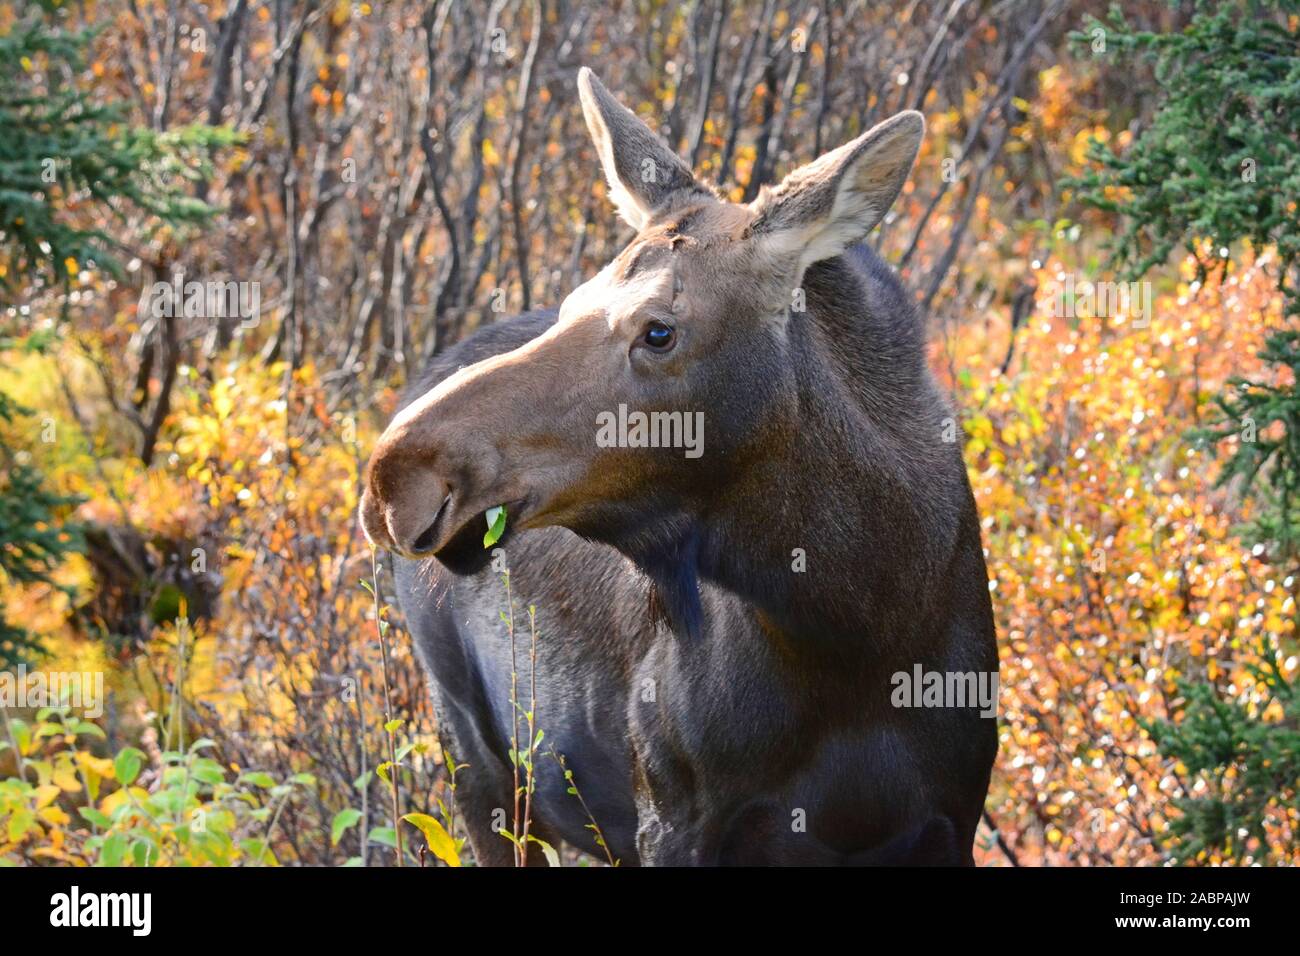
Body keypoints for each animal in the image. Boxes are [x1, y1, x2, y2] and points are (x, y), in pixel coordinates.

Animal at [361, 67, 998, 868]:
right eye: (571, 304)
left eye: (658, 330)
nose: (396, 476)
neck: (862, 624)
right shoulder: (671, 818)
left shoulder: (950, 819)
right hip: (475, 760)